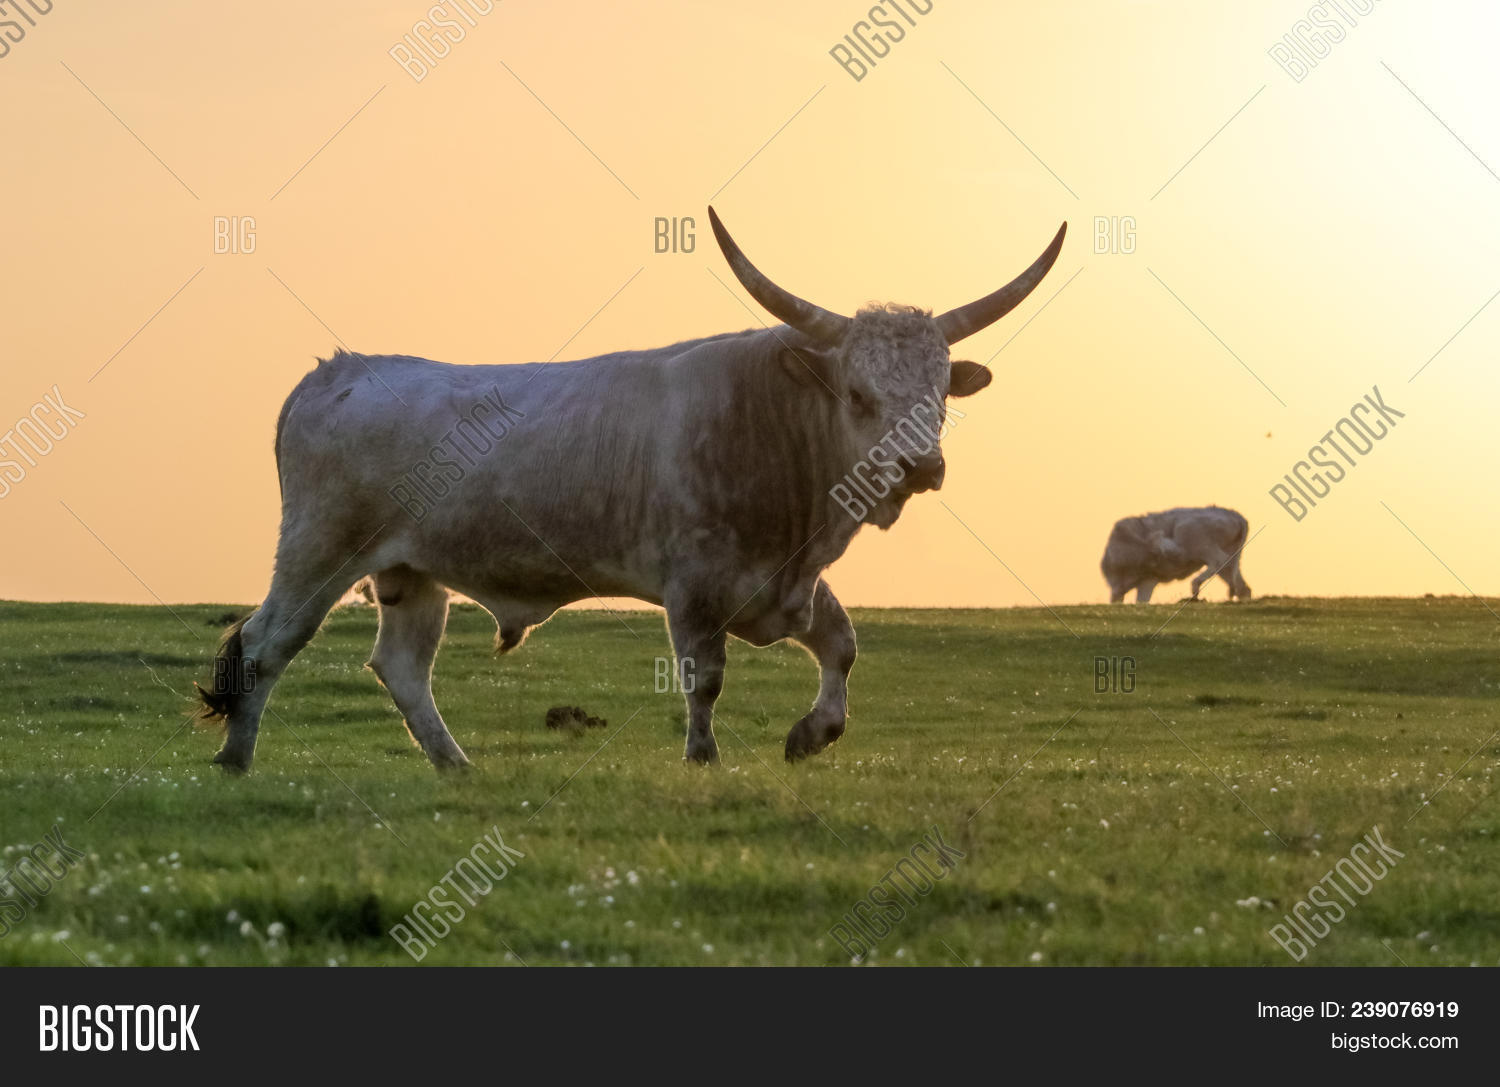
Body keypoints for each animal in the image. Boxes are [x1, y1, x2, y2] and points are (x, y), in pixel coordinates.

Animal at [194, 208, 1067, 772]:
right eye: (858, 394)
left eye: (939, 392)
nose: (921, 467)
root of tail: (335, 371)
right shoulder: (698, 587)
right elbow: (705, 676)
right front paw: (703, 757)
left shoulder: (789, 585)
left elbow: (843, 646)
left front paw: (810, 733)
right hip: (318, 551)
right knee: (267, 641)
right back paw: (236, 759)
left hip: (414, 571)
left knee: (402, 668)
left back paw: (457, 765)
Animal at [1100, 506, 1252, 604]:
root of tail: (1236, 516)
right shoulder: (1148, 579)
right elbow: (1141, 601)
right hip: (1230, 556)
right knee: (1242, 586)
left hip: (1198, 541)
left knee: (1220, 561)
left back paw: (1195, 586)